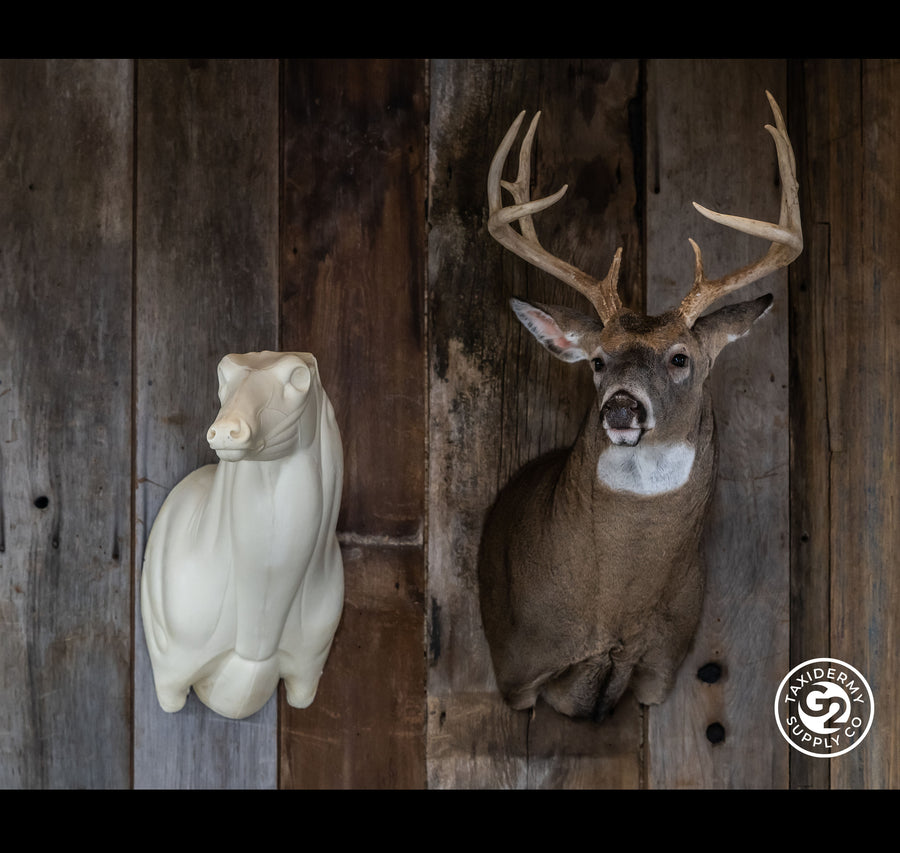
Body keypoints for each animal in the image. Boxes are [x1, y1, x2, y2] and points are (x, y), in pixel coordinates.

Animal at [477, 92, 802, 721]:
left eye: (680, 358)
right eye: (598, 361)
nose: (622, 408)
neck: (613, 614)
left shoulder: (662, 668)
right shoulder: (516, 668)